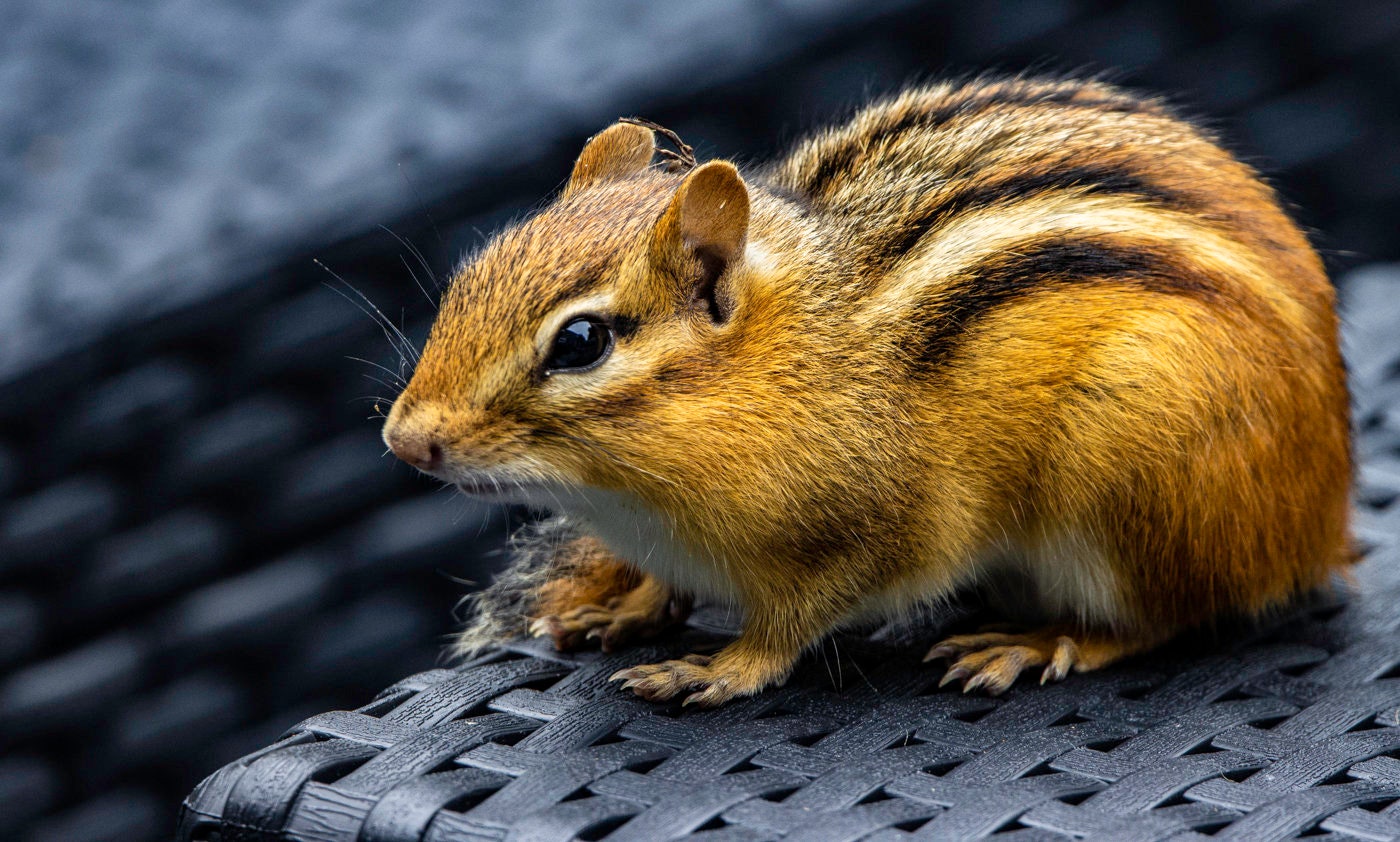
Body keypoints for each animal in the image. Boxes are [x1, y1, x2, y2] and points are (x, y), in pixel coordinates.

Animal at [382, 74, 1352, 705]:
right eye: (467, 278)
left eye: (580, 342)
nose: (404, 439)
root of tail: (1320, 518)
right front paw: (626, 606)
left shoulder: (875, 533)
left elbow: (790, 625)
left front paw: (716, 669)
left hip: (1136, 479)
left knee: (1159, 616)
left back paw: (1037, 640)